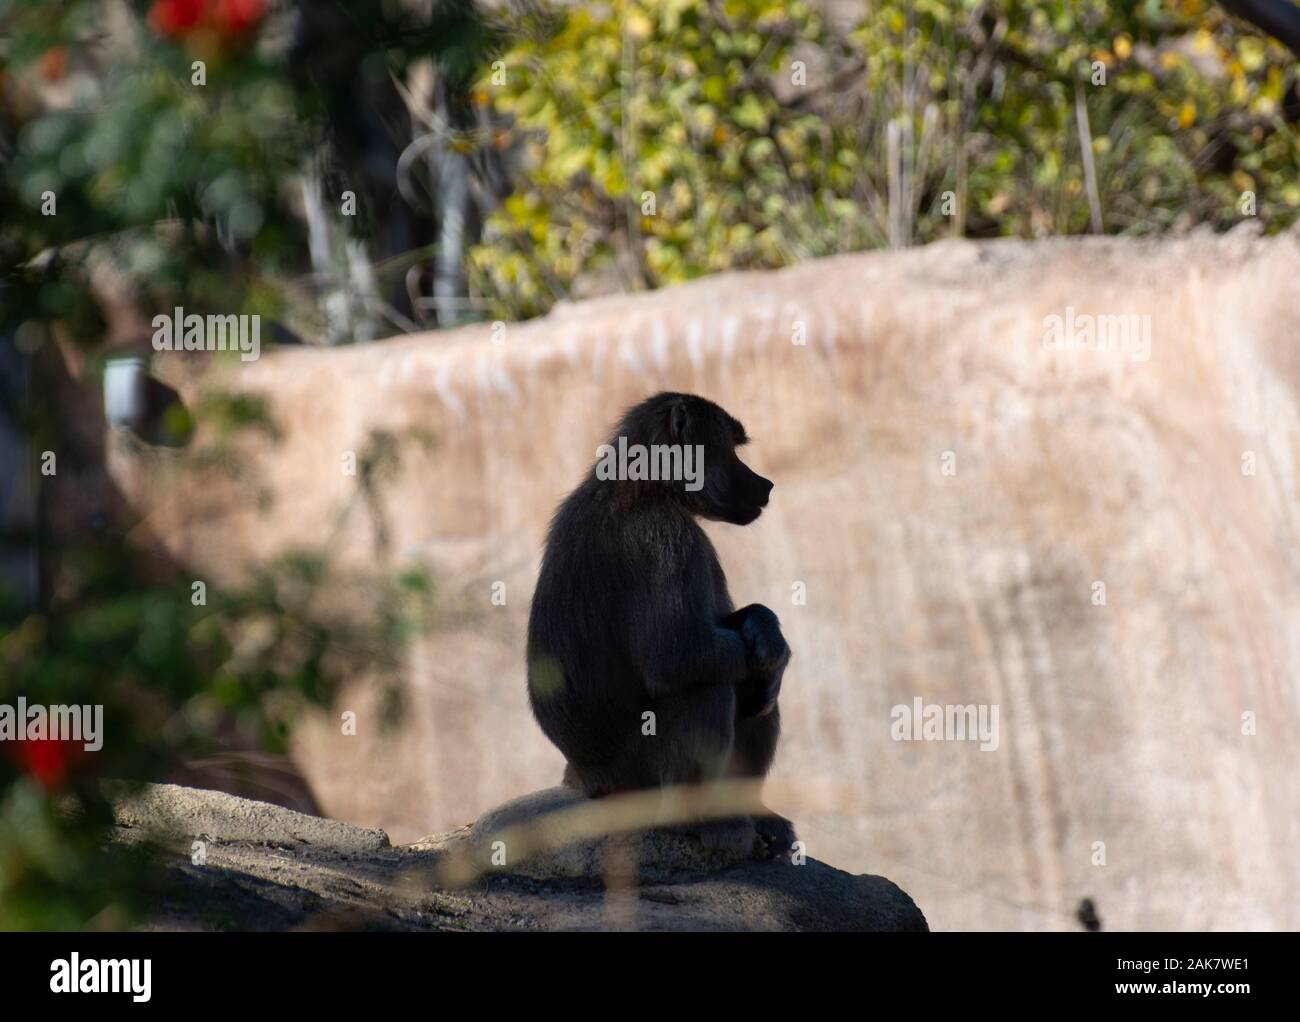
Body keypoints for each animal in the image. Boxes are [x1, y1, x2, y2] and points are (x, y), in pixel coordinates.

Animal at [526, 392, 795, 856]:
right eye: (731, 447)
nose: (765, 484)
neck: (643, 486)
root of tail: (583, 783)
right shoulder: (665, 539)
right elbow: (678, 657)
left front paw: (767, 632)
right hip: (635, 784)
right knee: (710, 684)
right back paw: (701, 822)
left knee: (757, 692)